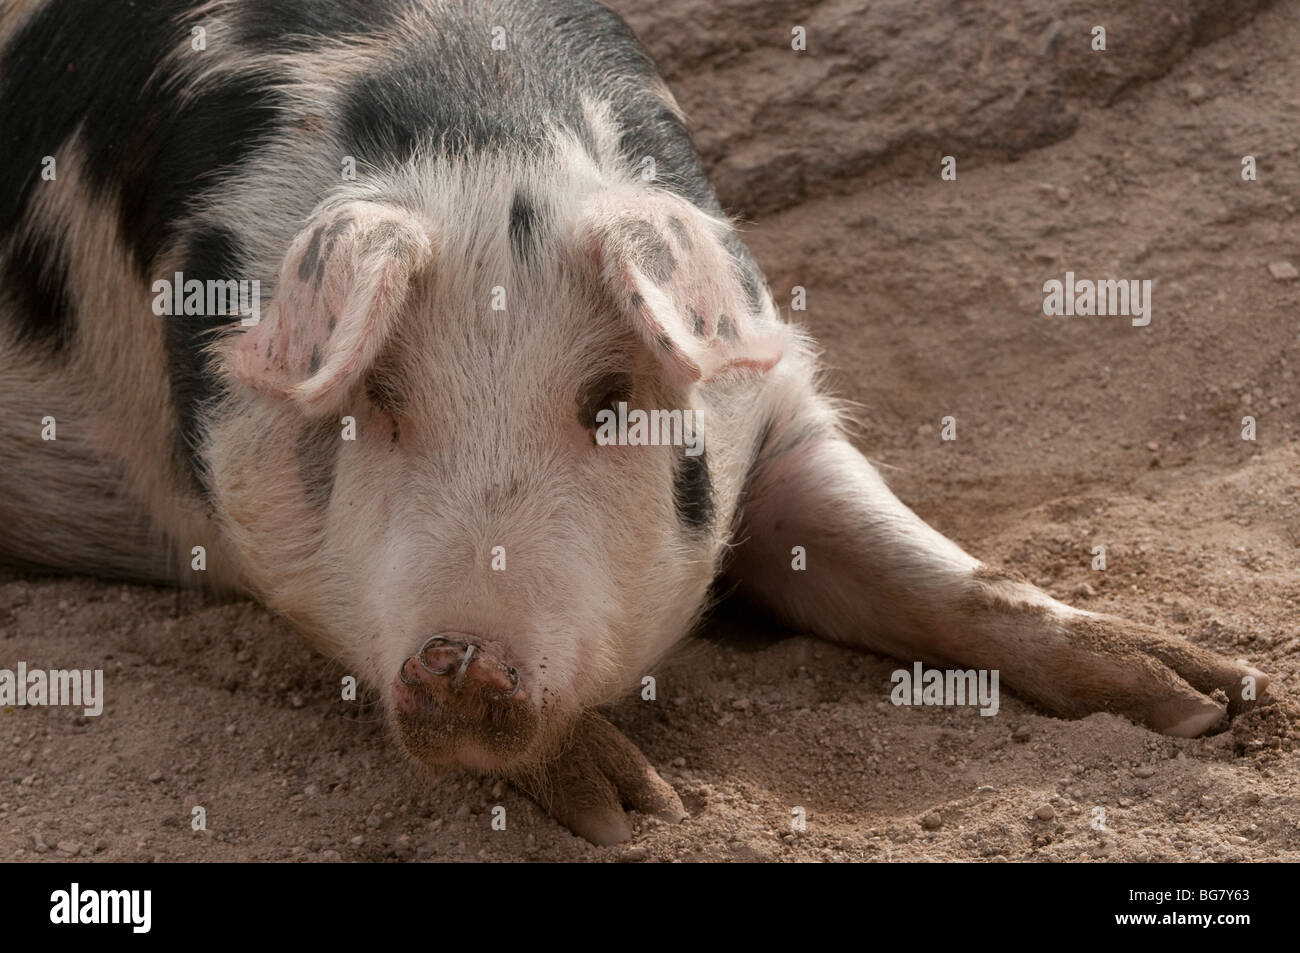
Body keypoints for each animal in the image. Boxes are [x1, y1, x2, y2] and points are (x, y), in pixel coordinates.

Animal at [0, 0, 1272, 845]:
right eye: (376, 403)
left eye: (610, 400)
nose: (461, 658)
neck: (487, 142)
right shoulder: (230, 479)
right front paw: (637, 810)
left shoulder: (772, 400)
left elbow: (934, 572)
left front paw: (1212, 701)